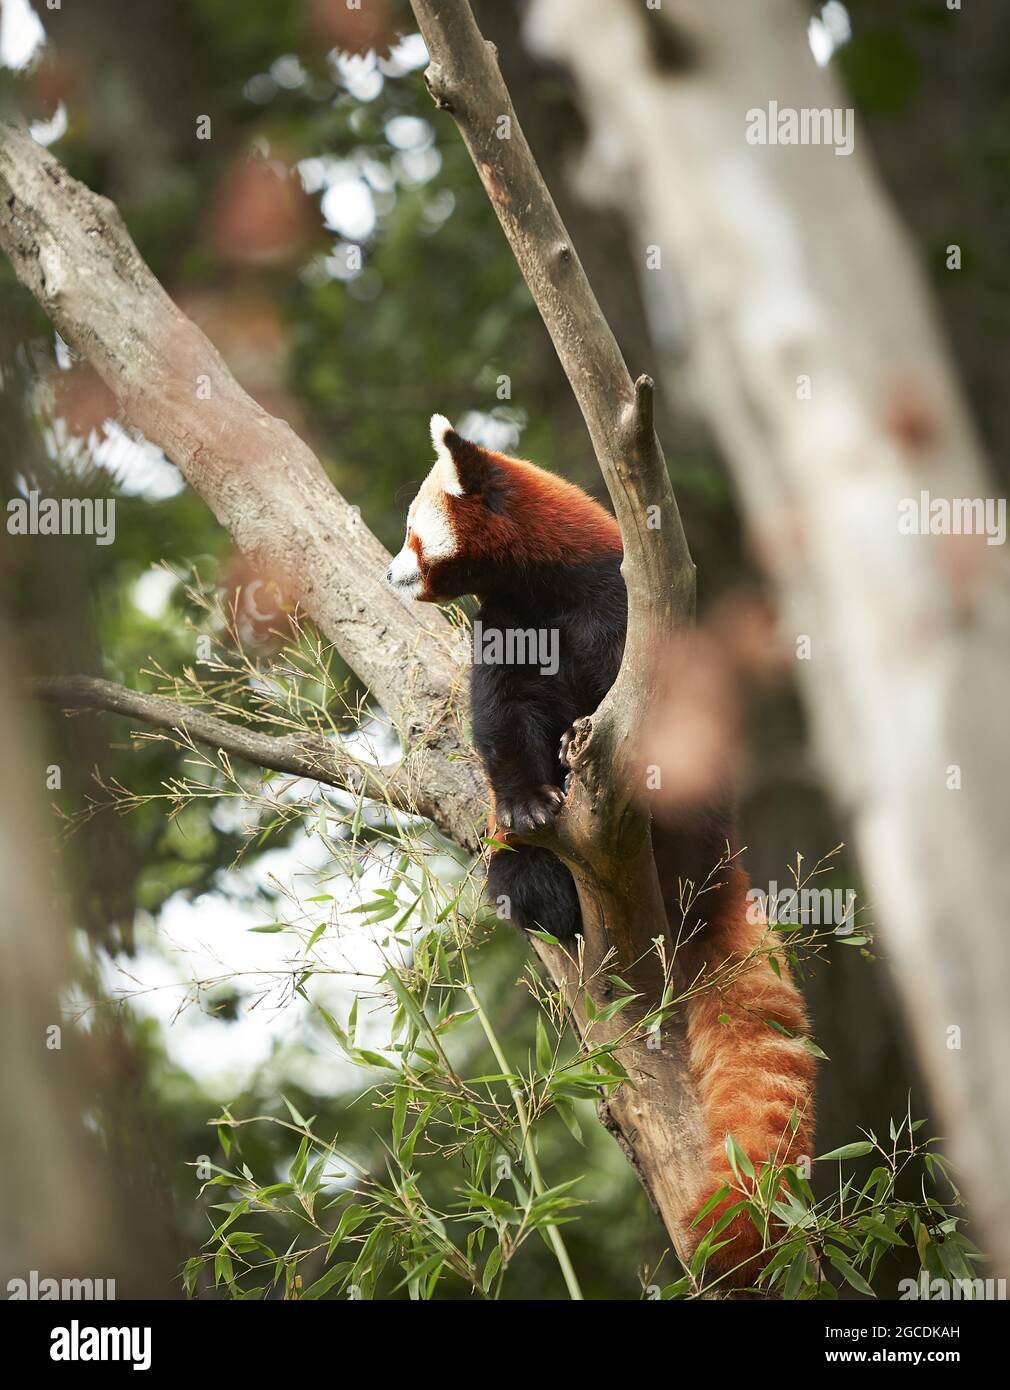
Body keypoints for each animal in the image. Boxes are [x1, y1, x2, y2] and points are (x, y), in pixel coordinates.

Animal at [388, 414, 815, 1286]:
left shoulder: (624, 613)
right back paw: (549, 893)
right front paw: (527, 796)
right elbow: (504, 728)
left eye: (415, 536)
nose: (390, 573)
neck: (543, 585)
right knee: (517, 876)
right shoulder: (507, 632)